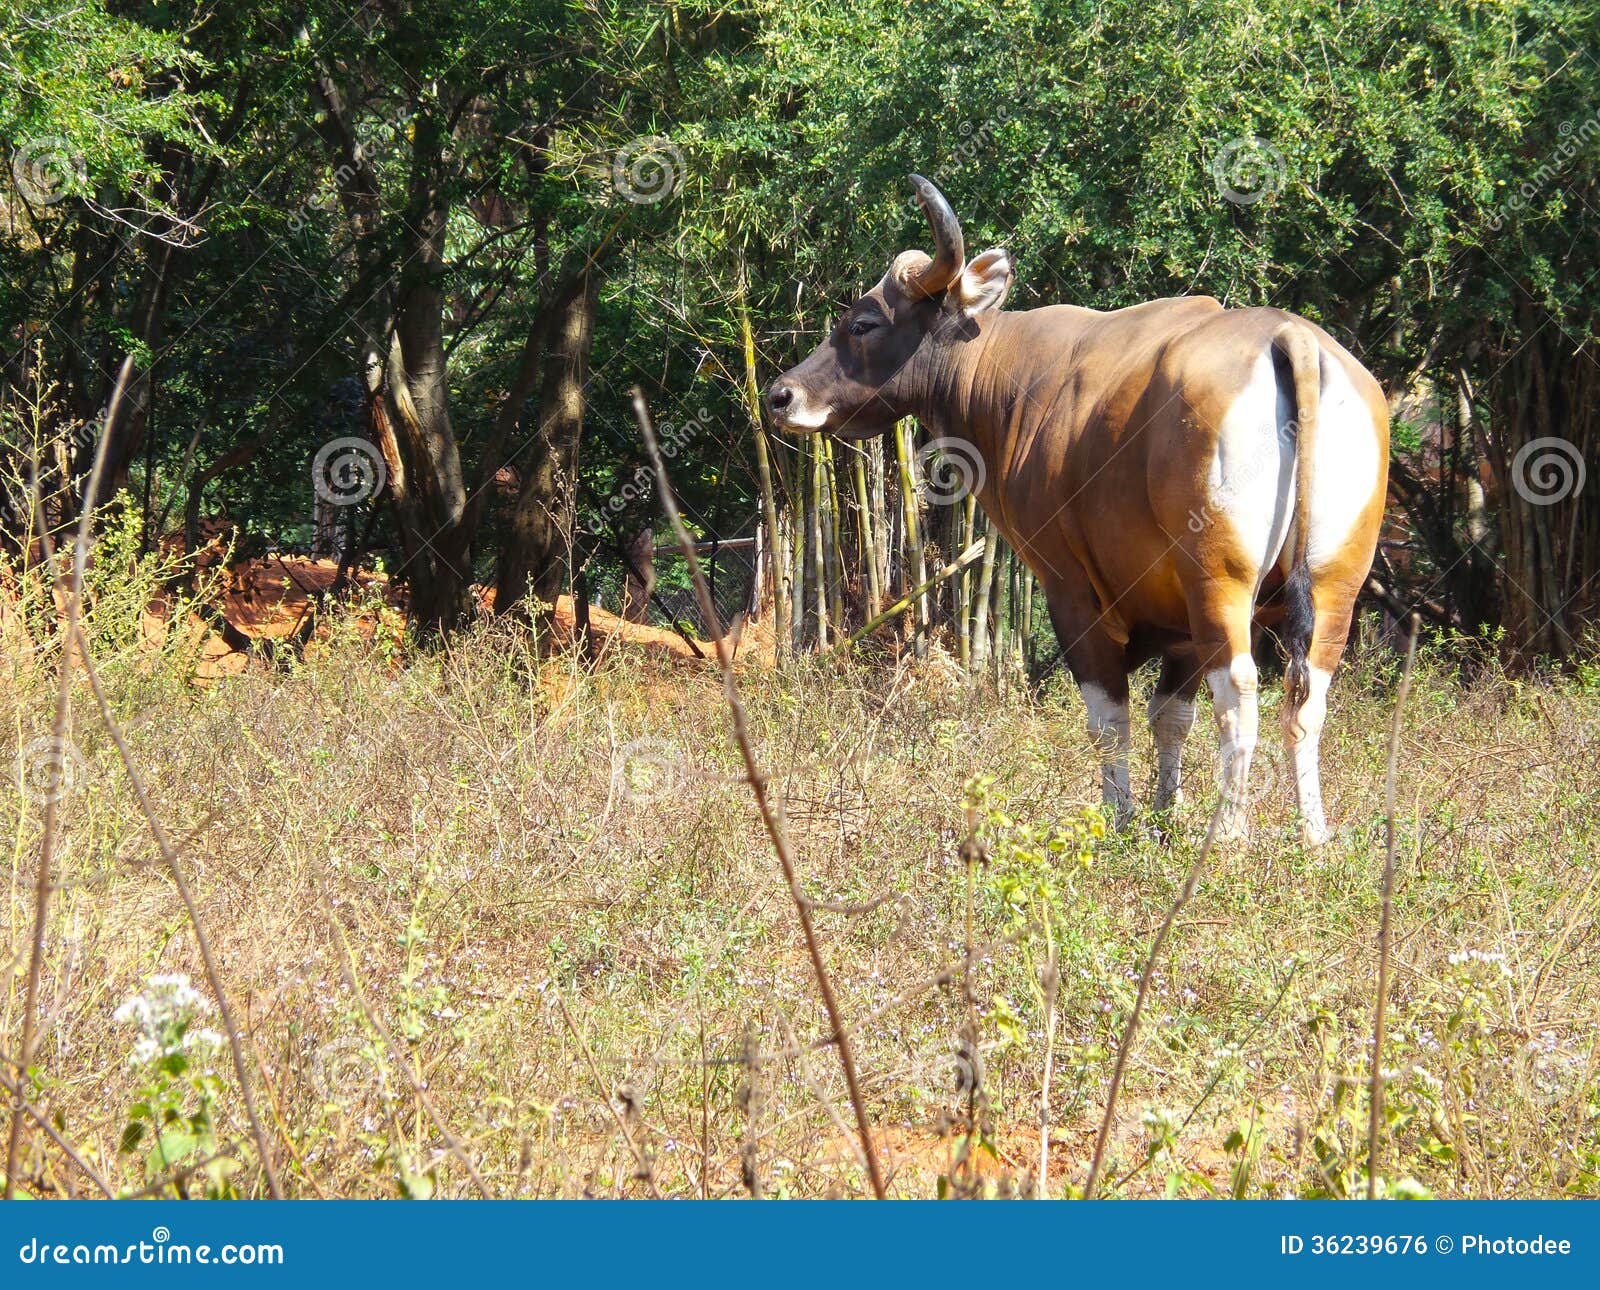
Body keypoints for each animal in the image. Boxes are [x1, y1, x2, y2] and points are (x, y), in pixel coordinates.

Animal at [766, 175, 1388, 845]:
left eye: (861, 323)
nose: (780, 395)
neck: (1015, 377)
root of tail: (1290, 337)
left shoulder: (1071, 591)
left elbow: (1108, 717)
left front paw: (1121, 821)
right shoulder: (1178, 624)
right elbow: (1170, 715)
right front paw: (1163, 817)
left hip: (1220, 581)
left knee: (1242, 692)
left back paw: (1227, 836)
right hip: (1333, 585)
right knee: (1307, 697)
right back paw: (1315, 837)